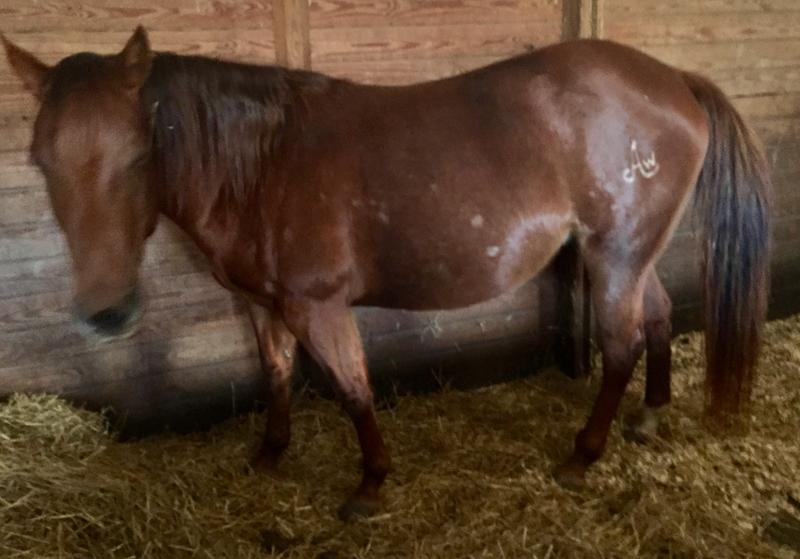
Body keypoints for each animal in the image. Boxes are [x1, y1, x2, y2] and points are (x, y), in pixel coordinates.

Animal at [2, 26, 770, 520]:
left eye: (140, 152)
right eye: (40, 159)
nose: (107, 314)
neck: (261, 163)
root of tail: (674, 81)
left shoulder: (317, 306)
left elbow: (352, 388)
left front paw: (369, 485)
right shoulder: (262, 304)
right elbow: (276, 374)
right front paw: (270, 453)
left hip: (613, 255)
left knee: (620, 345)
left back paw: (584, 454)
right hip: (623, 255)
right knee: (658, 316)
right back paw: (649, 414)